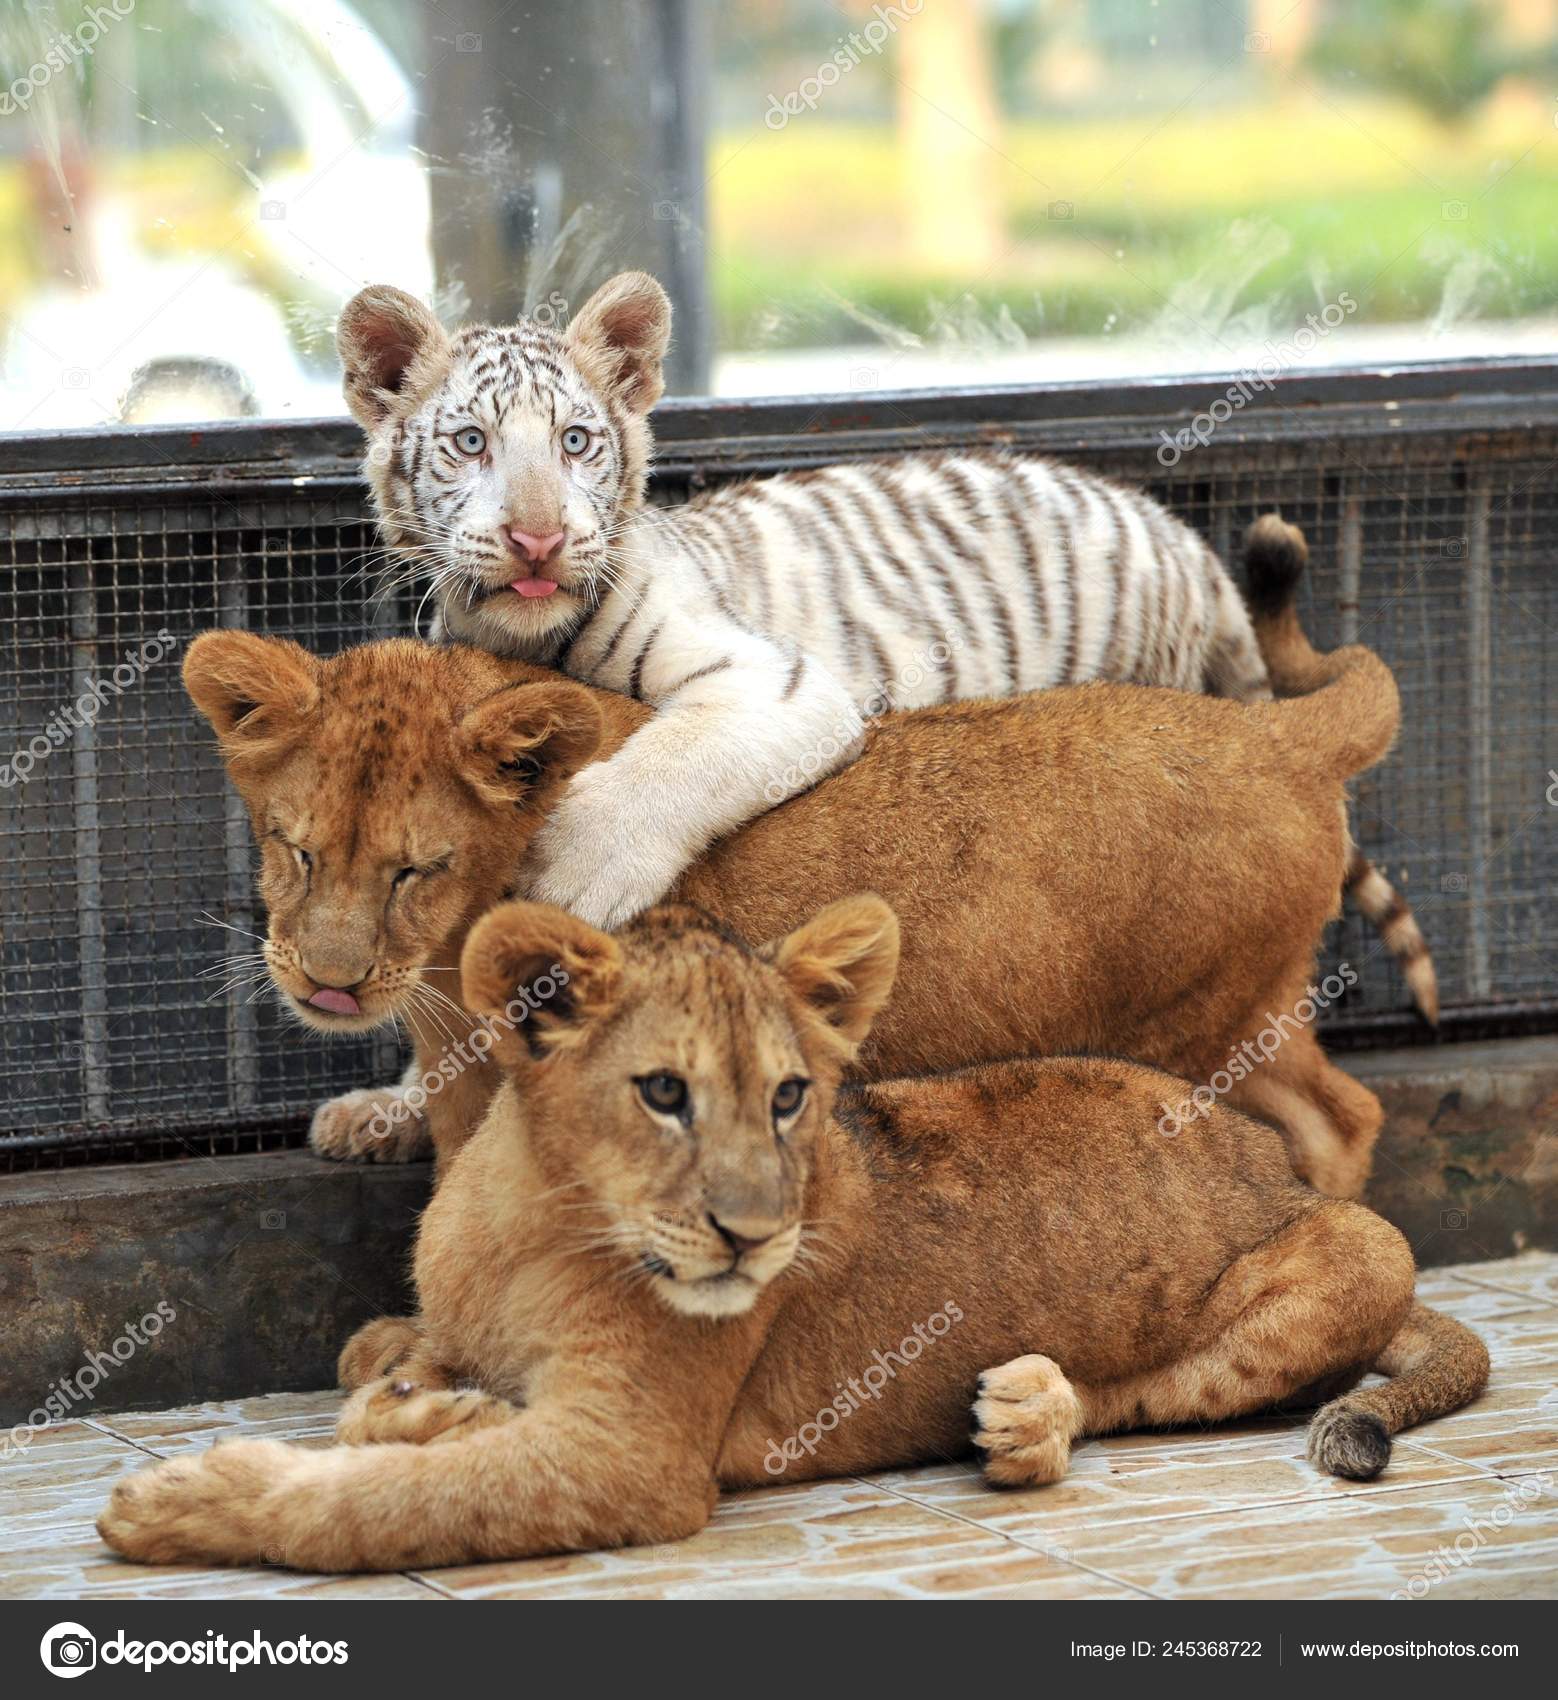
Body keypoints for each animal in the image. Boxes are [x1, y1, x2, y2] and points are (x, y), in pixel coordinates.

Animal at [98, 894, 1488, 1573]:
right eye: (663, 1091)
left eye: (787, 1095)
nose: (756, 1239)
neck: (531, 1217)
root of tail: (1274, 1171)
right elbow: (370, 1383)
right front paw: (435, 1406)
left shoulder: (628, 1458)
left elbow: (389, 1504)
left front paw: (191, 1499)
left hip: (1358, 1252)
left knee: (1151, 1392)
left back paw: (1028, 1412)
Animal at [336, 273, 1435, 1019]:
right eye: (472, 443)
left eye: (574, 443)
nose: (538, 538)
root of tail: (1184, 540)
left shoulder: (779, 683)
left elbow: (671, 759)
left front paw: (575, 875)